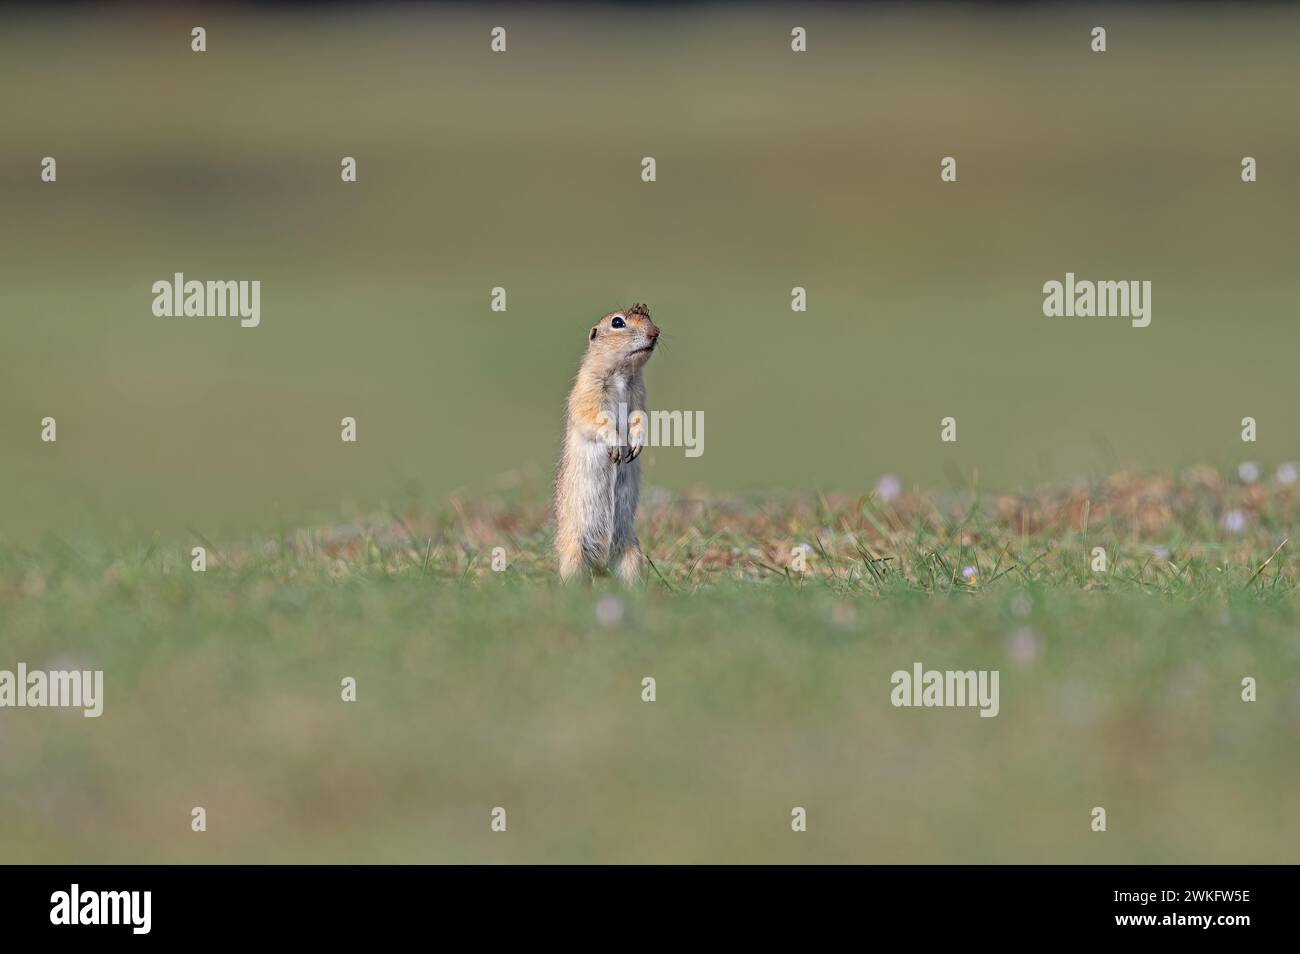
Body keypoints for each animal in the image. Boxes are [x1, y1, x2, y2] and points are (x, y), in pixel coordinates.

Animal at [554, 303, 661, 582]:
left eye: (650, 318)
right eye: (617, 322)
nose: (655, 333)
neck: (622, 375)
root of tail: (601, 567)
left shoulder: (639, 396)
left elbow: (640, 418)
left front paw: (635, 446)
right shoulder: (588, 391)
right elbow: (593, 417)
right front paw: (616, 448)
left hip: (631, 553)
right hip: (573, 556)